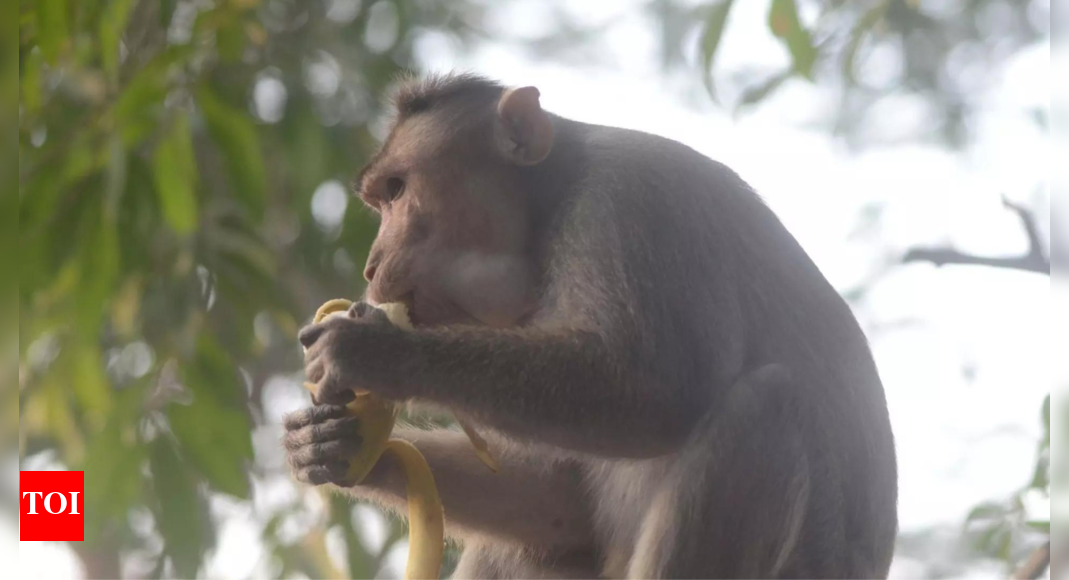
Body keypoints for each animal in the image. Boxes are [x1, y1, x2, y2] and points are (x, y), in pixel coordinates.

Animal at [283, 73, 898, 579]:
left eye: (397, 192)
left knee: (763, 406)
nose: (371, 265)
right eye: (379, 199)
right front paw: (335, 445)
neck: (552, 207)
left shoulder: (630, 204)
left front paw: (376, 352)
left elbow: (662, 389)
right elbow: (563, 505)